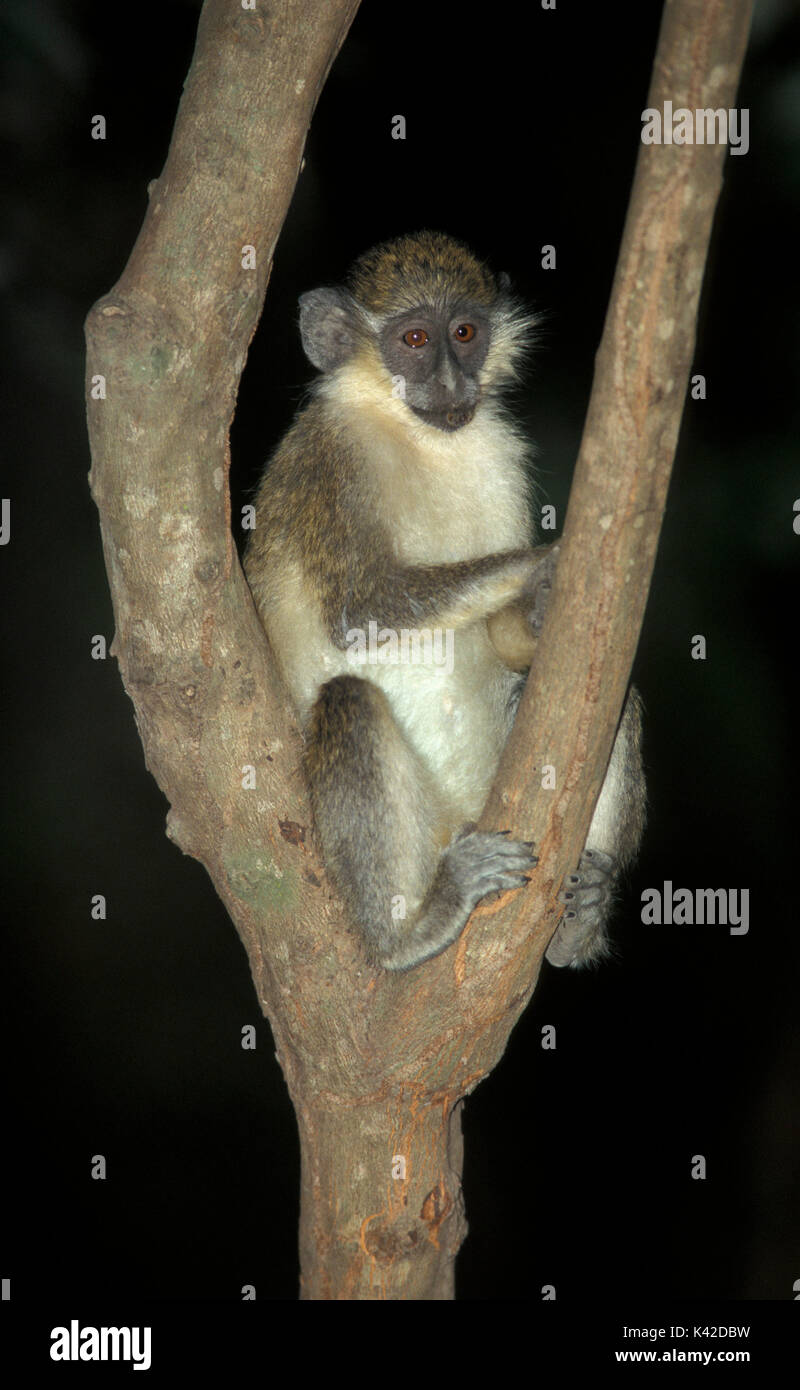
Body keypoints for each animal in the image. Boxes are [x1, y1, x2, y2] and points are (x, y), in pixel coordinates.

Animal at [244, 231, 645, 972]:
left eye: (464, 333)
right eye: (413, 339)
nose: (454, 385)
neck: (422, 437)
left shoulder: (502, 459)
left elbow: (510, 646)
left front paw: (542, 608)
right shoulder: (327, 461)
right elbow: (359, 610)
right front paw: (544, 565)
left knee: (616, 691)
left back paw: (581, 918)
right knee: (348, 701)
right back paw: (409, 933)